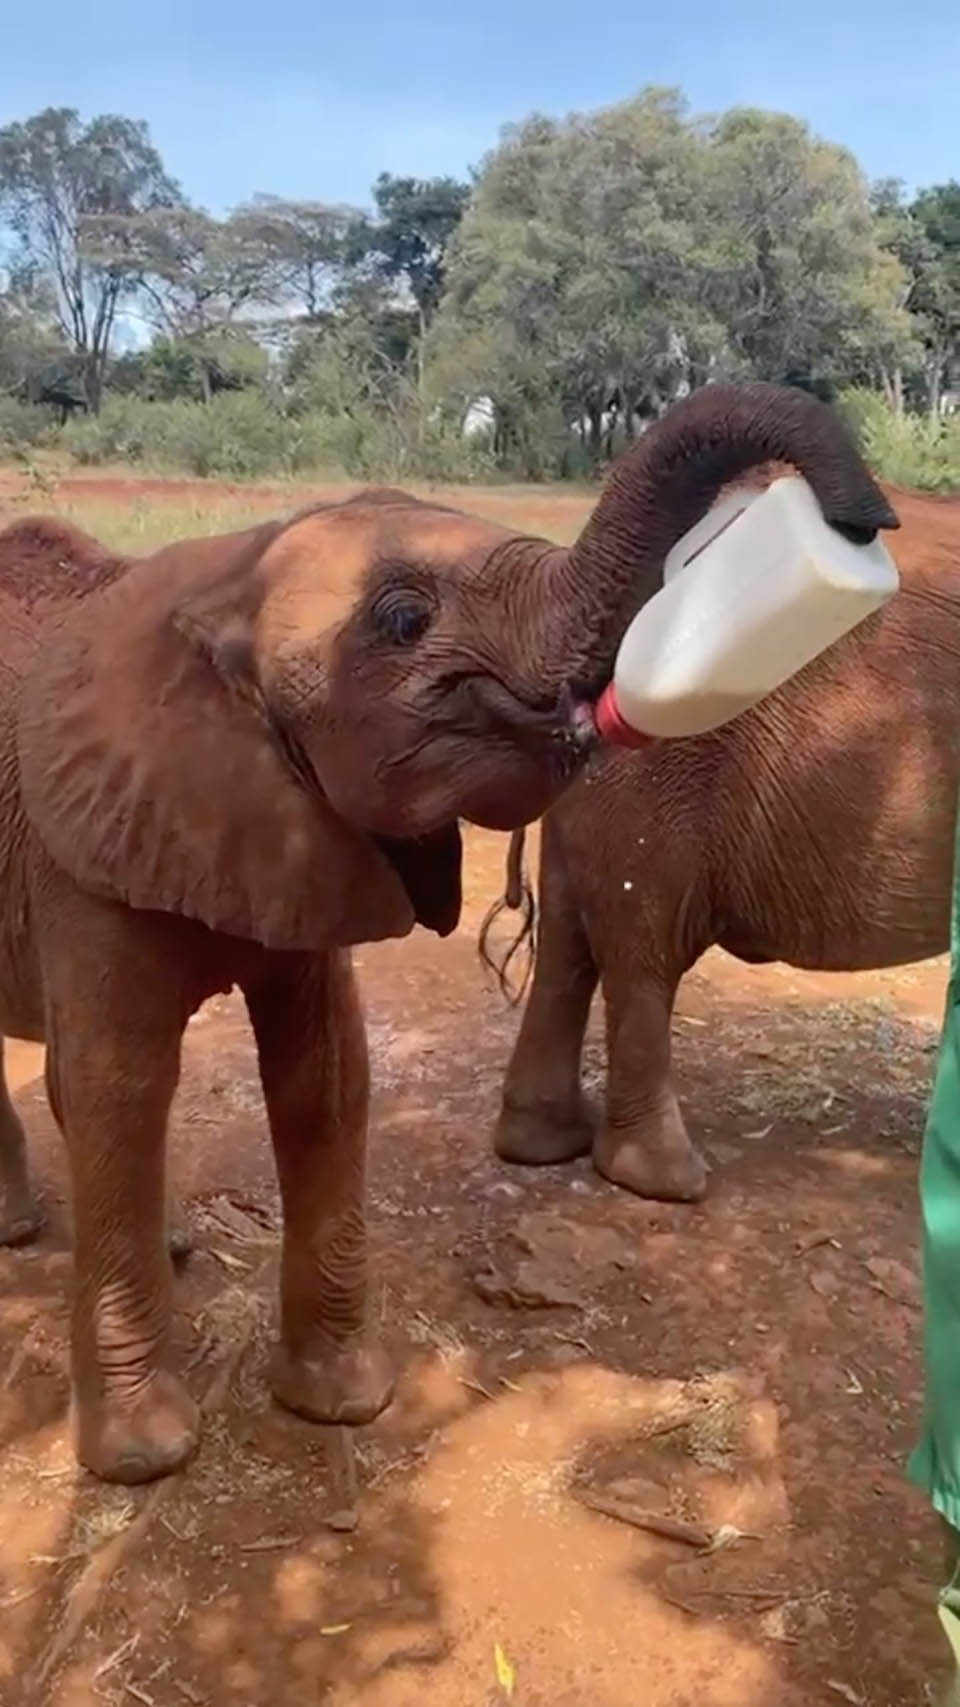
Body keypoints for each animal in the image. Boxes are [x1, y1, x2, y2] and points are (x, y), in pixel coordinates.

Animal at [0, 382, 894, 1484]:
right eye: (402, 620)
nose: (865, 518)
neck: (230, 577)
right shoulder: (78, 848)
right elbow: (118, 1087)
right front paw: (145, 1460)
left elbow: (326, 1074)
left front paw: (344, 1402)